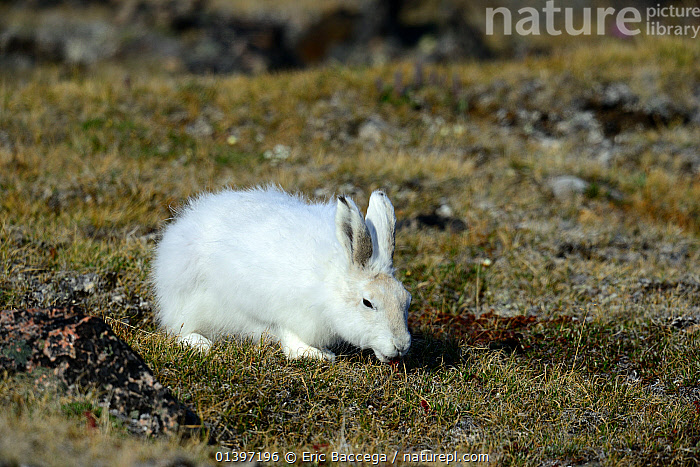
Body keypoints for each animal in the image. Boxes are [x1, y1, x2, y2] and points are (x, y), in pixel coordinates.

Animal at [151, 186, 412, 363]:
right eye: (368, 303)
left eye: (406, 299)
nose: (401, 345)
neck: (329, 285)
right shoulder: (277, 311)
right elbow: (288, 334)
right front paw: (317, 354)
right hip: (189, 302)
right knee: (179, 329)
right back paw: (201, 344)